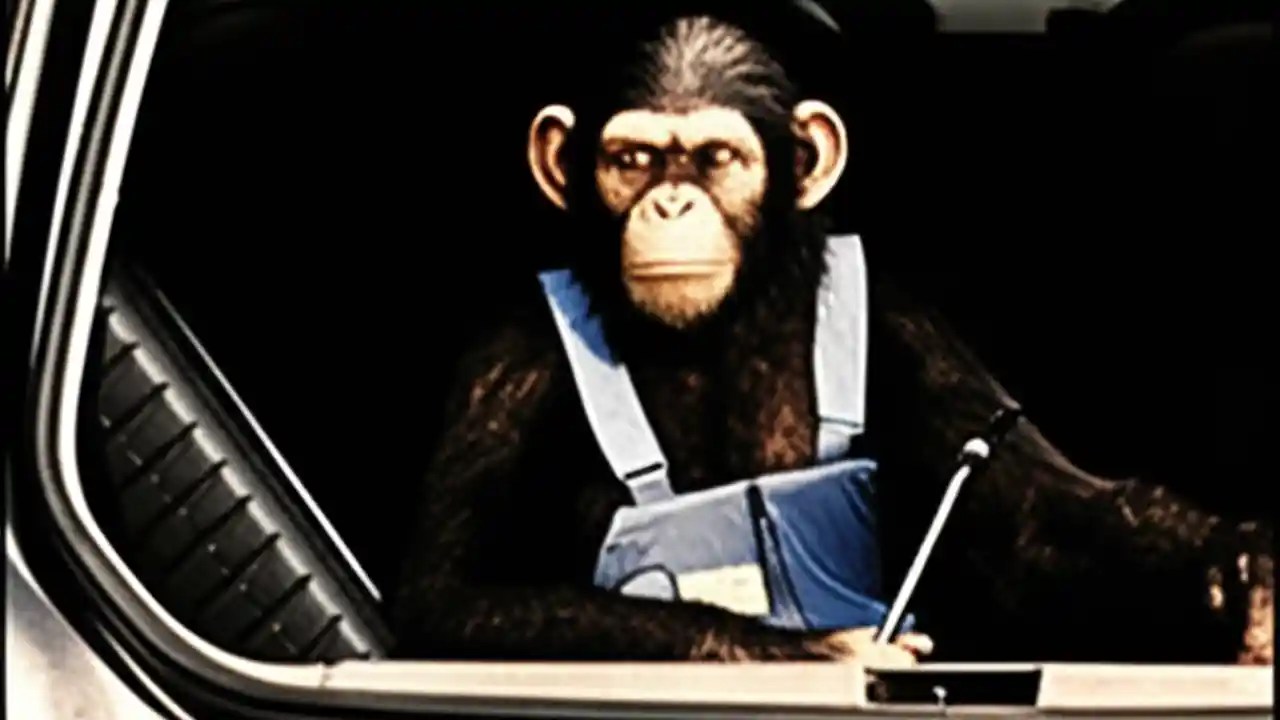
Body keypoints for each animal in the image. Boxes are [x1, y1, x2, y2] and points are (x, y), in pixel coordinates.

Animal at [388, 5, 1273, 666]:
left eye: (716, 158)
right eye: (632, 159)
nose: (670, 204)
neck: (716, 321)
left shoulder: (910, 330)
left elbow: (1037, 527)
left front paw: (1244, 574)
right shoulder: (508, 362)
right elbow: (448, 594)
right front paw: (839, 651)